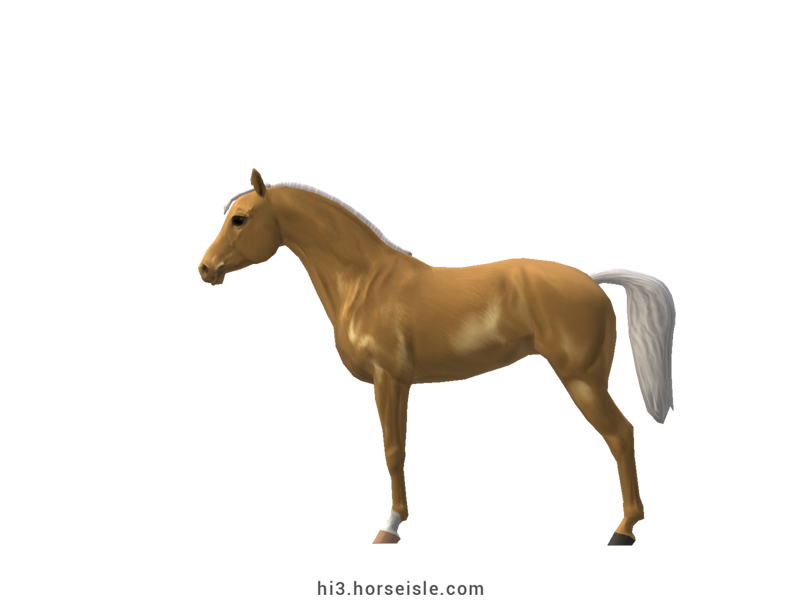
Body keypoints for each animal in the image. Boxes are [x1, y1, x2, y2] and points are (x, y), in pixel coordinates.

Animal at [199, 170, 673, 540]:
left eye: (240, 219)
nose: (205, 267)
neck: (365, 281)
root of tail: (597, 282)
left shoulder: (388, 377)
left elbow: (393, 448)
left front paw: (392, 524)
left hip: (582, 379)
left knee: (620, 436)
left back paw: (627, 525)